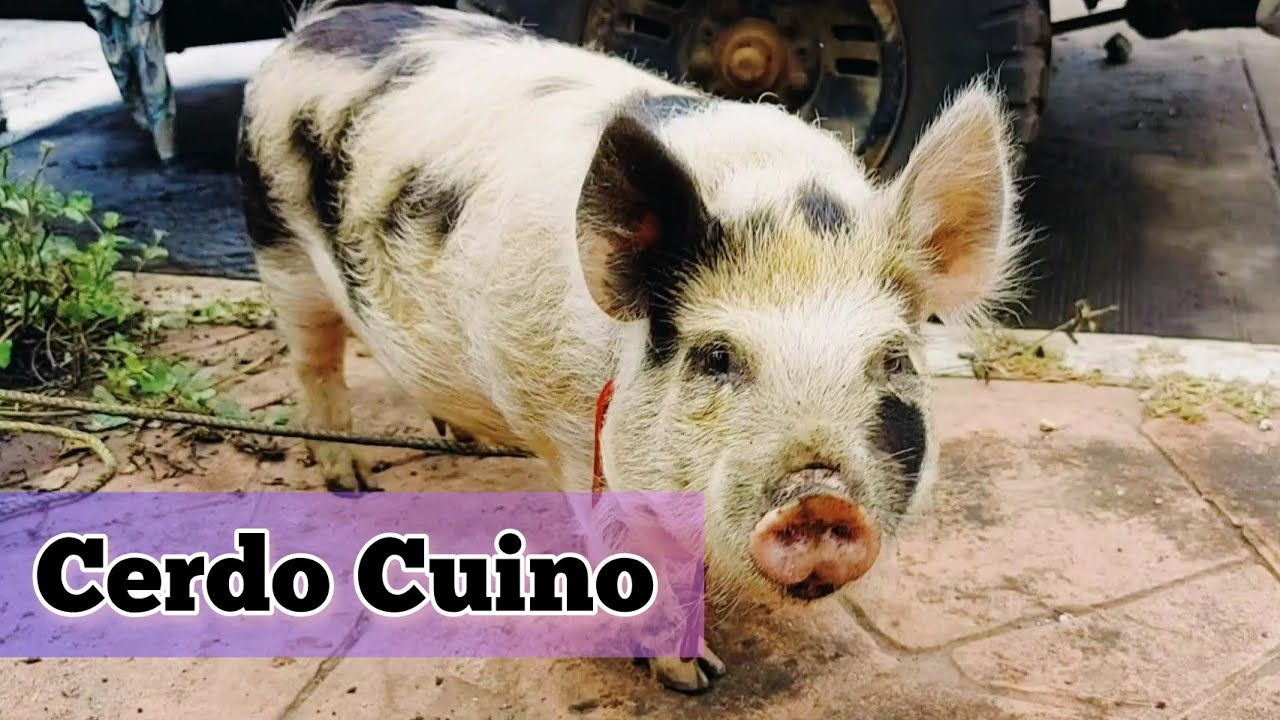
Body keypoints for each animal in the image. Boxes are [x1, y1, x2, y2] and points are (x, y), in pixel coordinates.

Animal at [237, 1, 1027, 692]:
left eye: (892, 360)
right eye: (716, 356)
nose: (818, 496)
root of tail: (314, 27)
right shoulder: (567, 435)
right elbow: (634, 557)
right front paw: (695, 678)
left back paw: (462, 438)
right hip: (280, 253)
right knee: (315, 365)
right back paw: (351, 482)